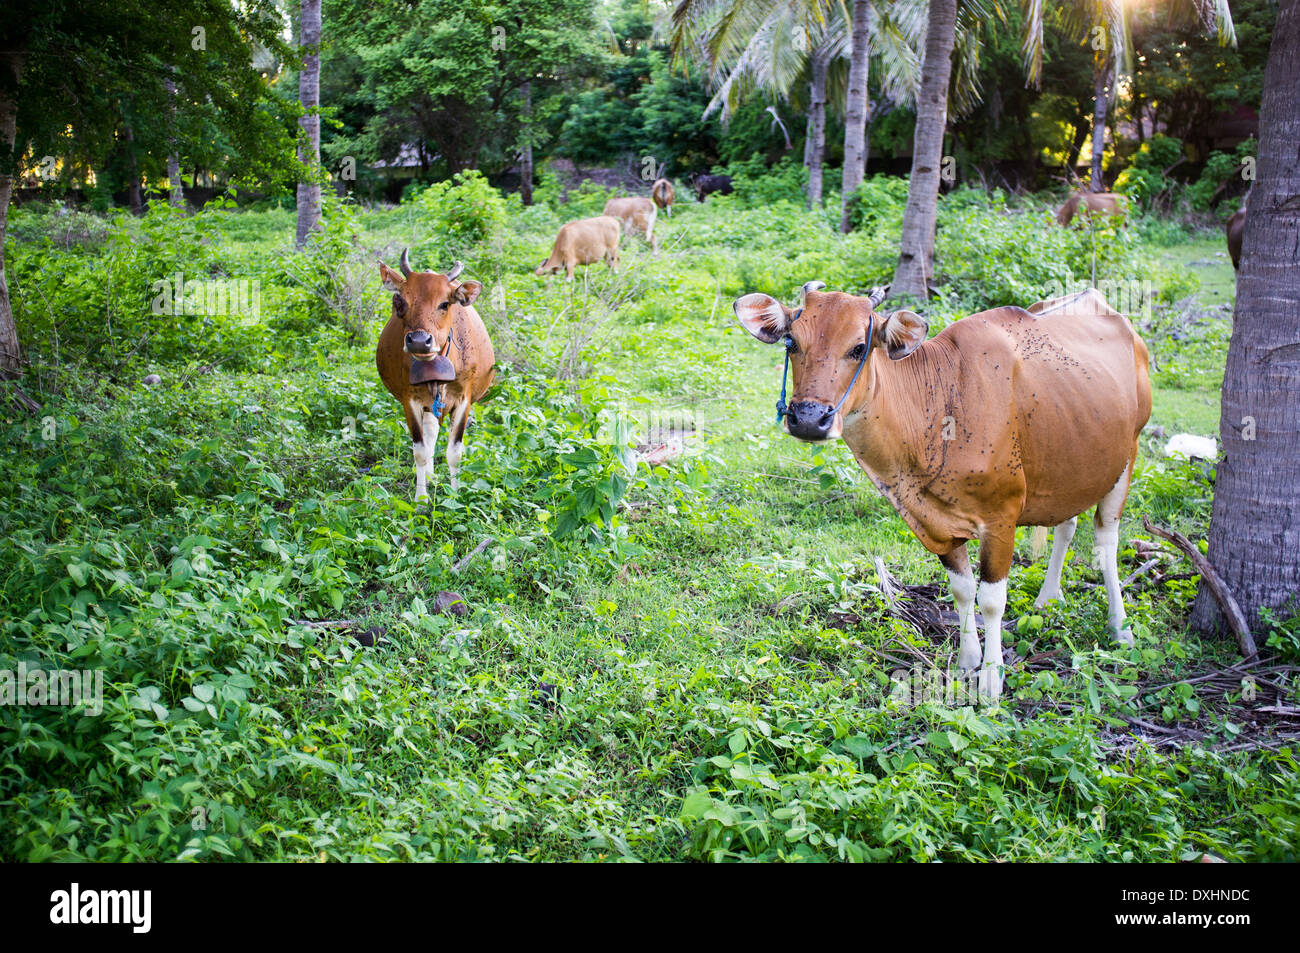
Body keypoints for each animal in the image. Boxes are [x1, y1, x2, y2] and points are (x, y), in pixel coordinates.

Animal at [377, 250, 496, 499]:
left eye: (445, 303)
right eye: (400, 302)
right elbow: (420, 451)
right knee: (430, 429)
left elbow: (455, 452)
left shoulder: (464, 399)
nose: (419, 341)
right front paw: (421, 499)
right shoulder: (409, 399)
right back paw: (430, 476)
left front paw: (455, 495)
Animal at [733, 283, 1152, 700]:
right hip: (1074, 465)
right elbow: (963, 590)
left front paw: (991, 677)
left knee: (1106, 541)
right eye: (791, 342)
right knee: (1067, 525)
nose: (808, 418)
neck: (940, 405)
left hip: (1127, 456)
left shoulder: (1001, 518)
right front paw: (968, 660)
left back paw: (1120, 626)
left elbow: (991, 600)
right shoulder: (936, 523)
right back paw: (1048, 599)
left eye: (858, 347)